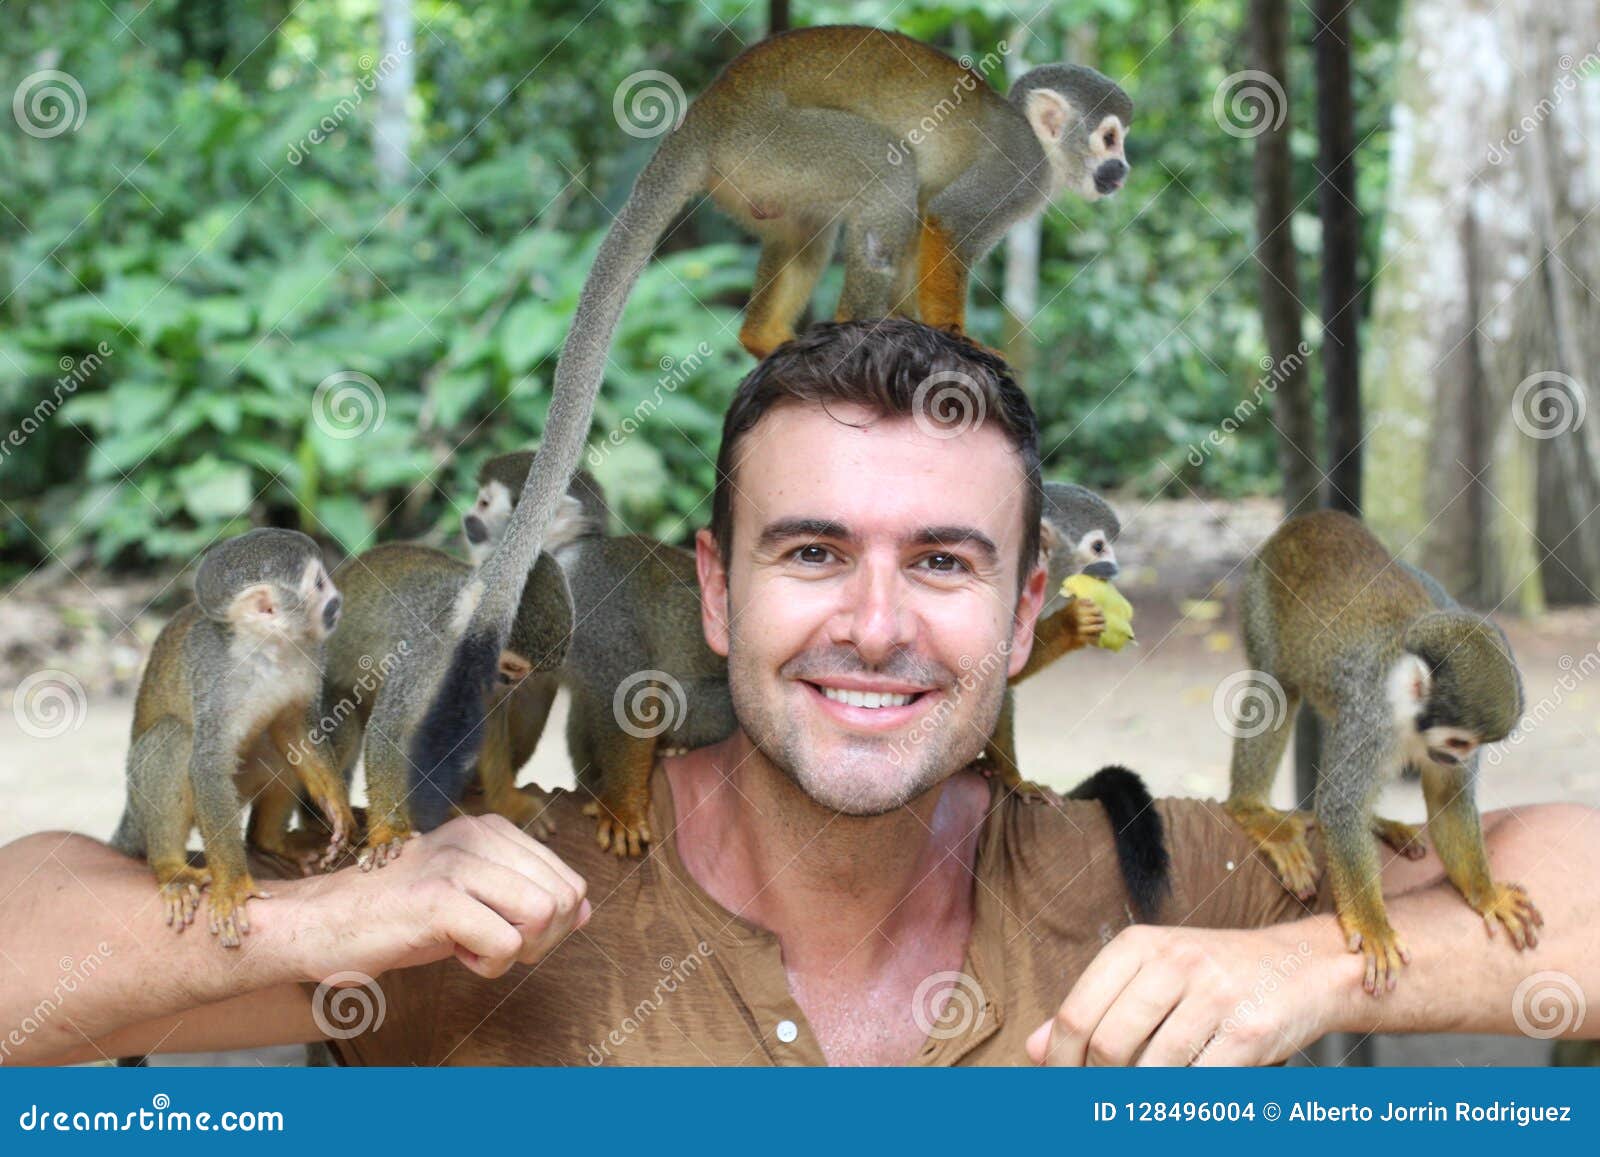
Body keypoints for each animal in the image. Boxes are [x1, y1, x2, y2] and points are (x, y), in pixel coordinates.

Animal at [110, 528, 352, 947]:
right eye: (319, 583)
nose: (336, 600)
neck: (265, 649)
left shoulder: (310, 653)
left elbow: (296, 731)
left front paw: (337, 806)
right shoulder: (214, 680)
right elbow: (206, 766)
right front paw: (234, 885)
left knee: (275, 745)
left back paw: (268, 840)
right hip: (141, 802)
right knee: (175, 739)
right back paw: (170, 868)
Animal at [329, 541, 574, 867]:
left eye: (522, 673)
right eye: (510, 667)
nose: (508, 683)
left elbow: (489, 720)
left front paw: (509, 804)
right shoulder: (430, 652)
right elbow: (390, 728)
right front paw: (387, 836)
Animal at [1224, 510, 1538, 992]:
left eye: (1475, 747)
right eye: (1459, 742)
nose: (1462, 759)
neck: (1404, 708)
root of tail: (1312, 519)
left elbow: (1447, 800)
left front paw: (1487, 895)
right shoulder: (1369, 719)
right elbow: (1340, 806)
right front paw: (1373, 927)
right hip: (1260, 594)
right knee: (1277, 687)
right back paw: (1252, 809)